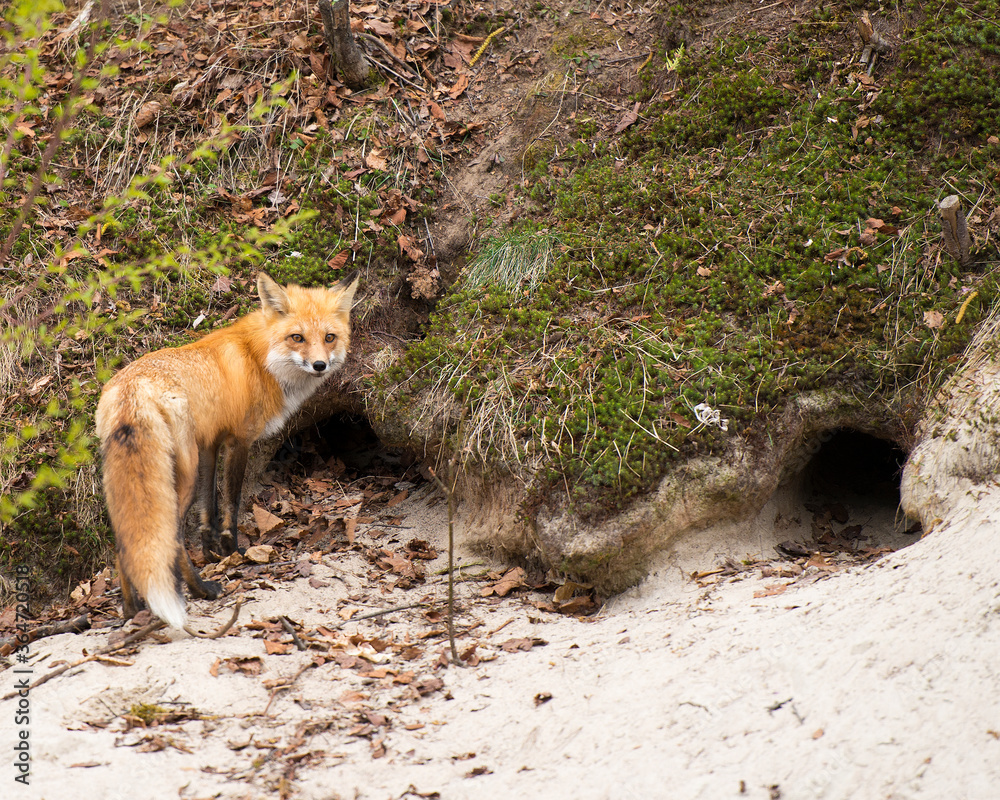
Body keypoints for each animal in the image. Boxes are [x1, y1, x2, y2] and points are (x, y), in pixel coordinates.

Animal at [95, 272, 360, 629]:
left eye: (330, 337)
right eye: (297, 338)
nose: (319, 365)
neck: (260, 359)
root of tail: (132, 390)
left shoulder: (211, 443)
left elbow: (209, 506)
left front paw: (211, 551)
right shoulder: (239, 440)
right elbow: (231, 504)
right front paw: (233, 551)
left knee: (124, 544)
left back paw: (131, 609)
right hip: (183, 473)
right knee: (173, 538)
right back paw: (201, 590)